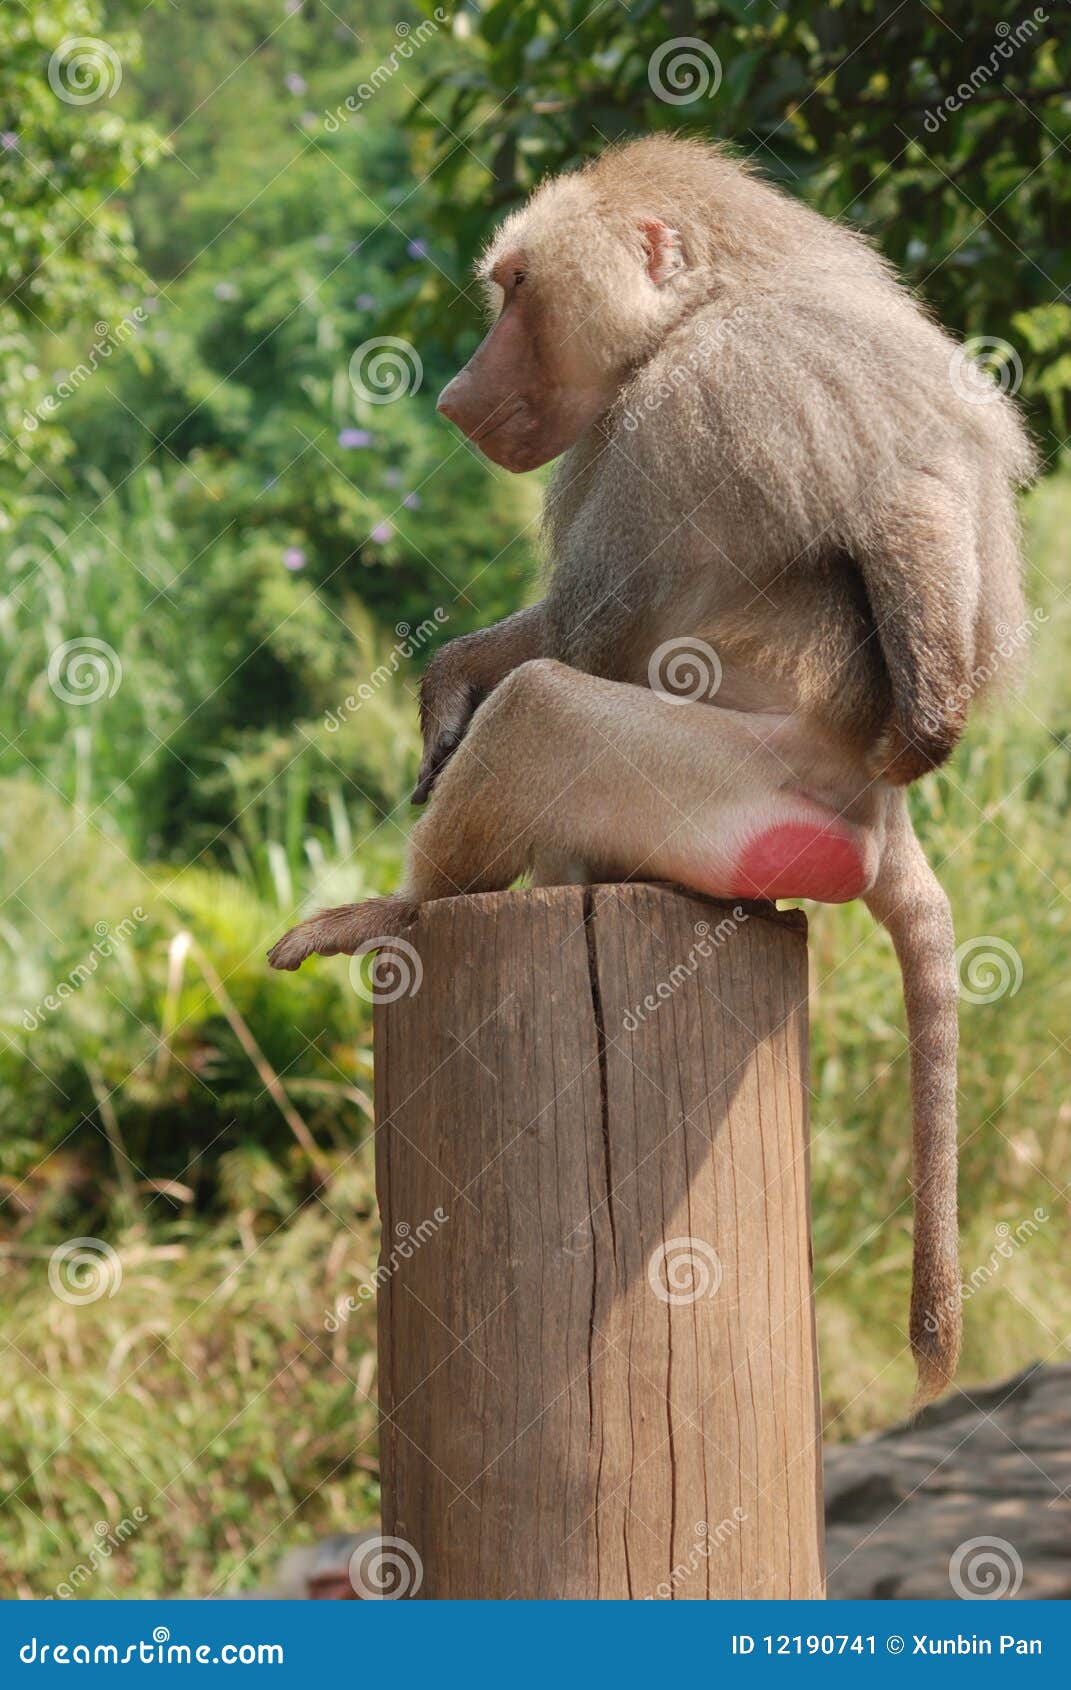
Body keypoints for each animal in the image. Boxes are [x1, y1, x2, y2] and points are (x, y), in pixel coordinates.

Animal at [269, 136, 1035, 1406]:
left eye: (515, 289)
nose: (455, 397)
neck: (709, 301)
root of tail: (881, 818)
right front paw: (449, 681)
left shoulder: (683, 408)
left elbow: (595, 634)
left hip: (726, 789)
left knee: (542, 716)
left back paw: (400, 907)